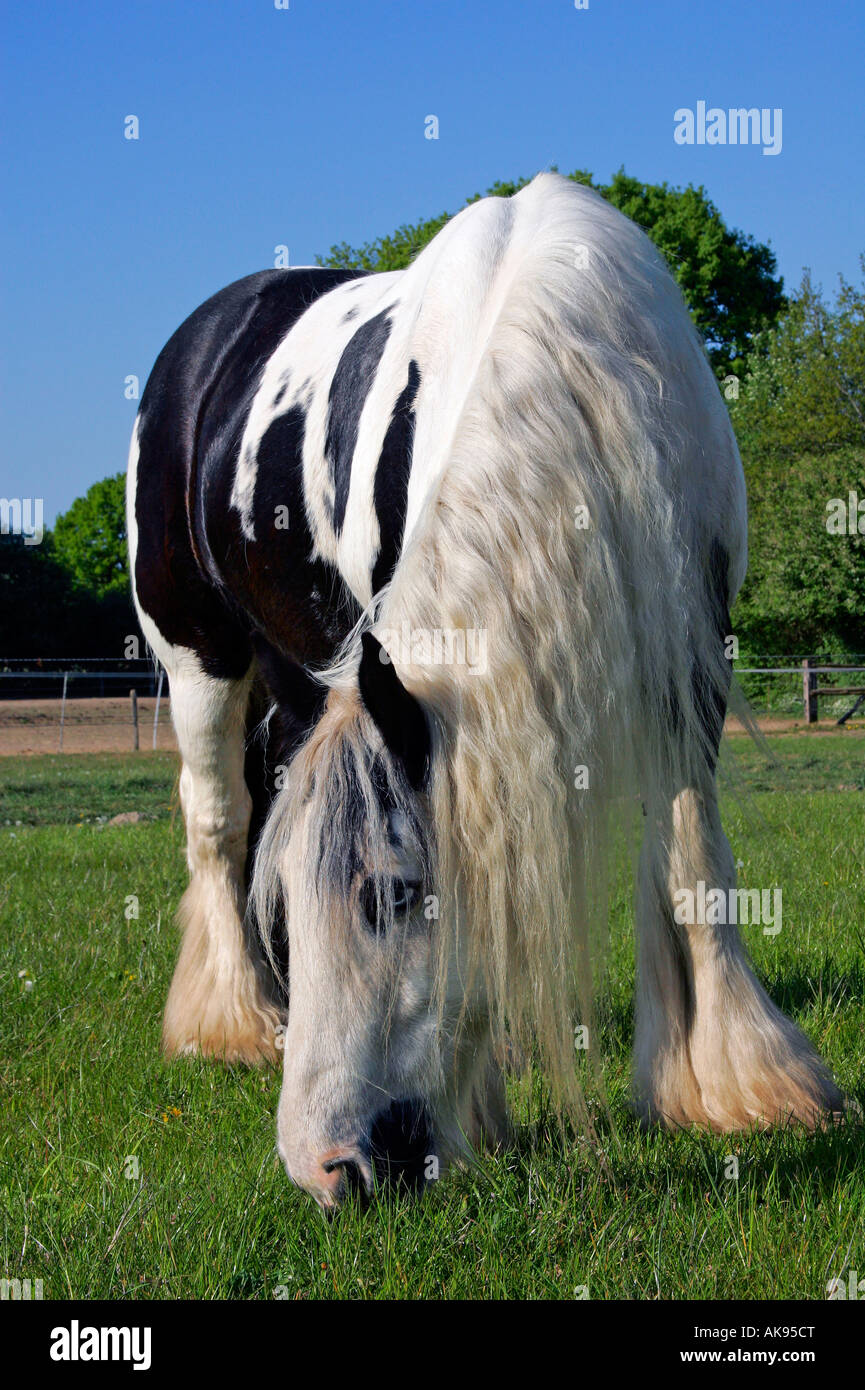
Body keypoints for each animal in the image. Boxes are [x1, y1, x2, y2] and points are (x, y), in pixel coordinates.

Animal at [127, 173, 843, 1209]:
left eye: (394, 893)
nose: (325, 1168)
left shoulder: (687, 657)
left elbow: (692, 860)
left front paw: (733, 1086)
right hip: (199, 661)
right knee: (218, 827)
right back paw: (233, 1024)